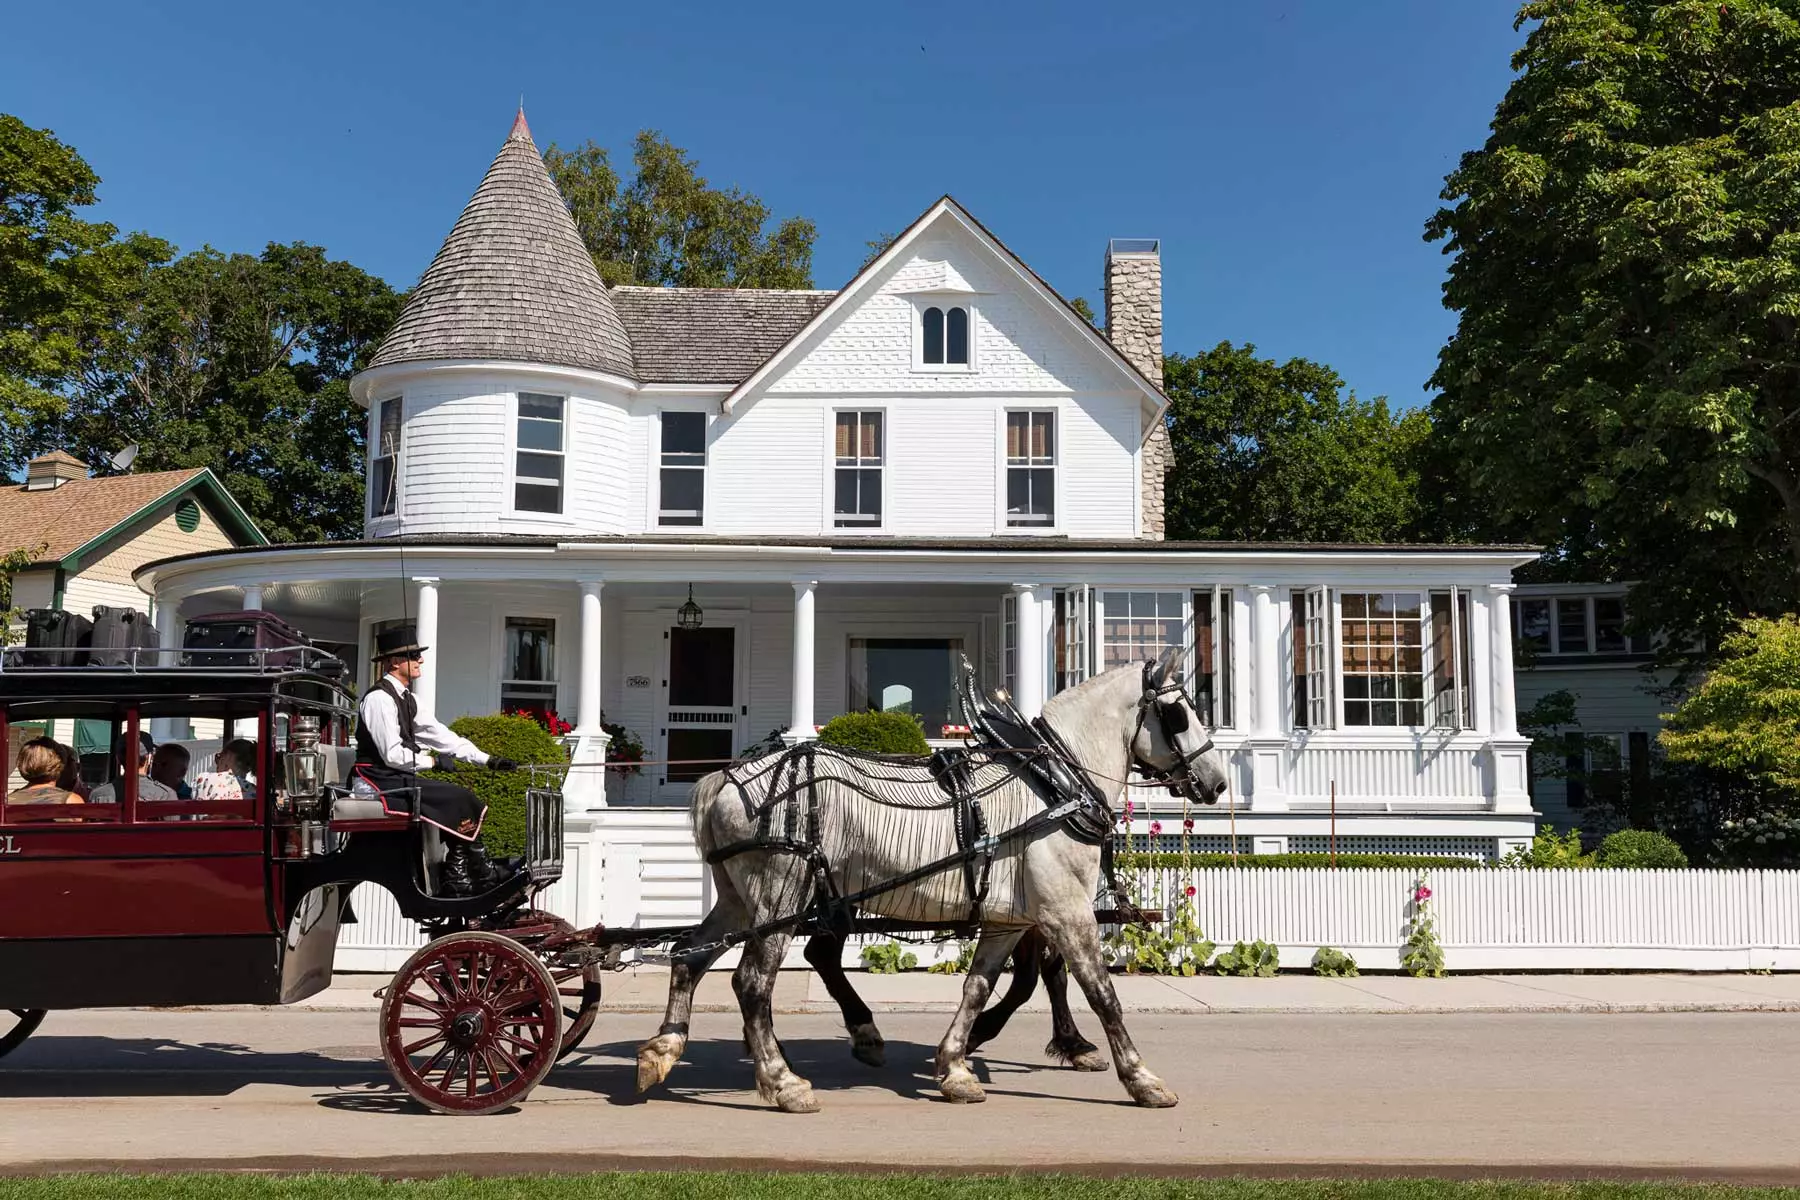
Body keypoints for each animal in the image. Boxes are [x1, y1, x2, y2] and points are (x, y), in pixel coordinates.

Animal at [633, 658, 1224, 1115]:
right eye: (1180, 713)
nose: (1217, 782)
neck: (1054, 784)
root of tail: (725, 778)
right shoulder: (1065, 911)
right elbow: (1101, 993)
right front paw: (1141, 1079)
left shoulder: (1010, 919)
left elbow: (980, 987)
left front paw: (956, 1066)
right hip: (783, 896)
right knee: (753, 982)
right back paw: (783, 1081)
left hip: (741, 900)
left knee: (690, 955)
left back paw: (664, 1049)